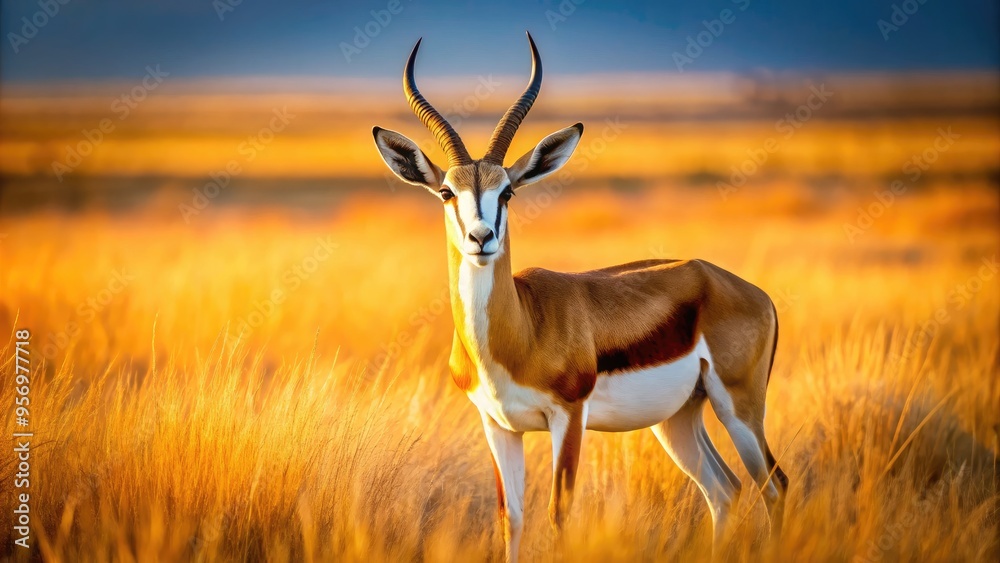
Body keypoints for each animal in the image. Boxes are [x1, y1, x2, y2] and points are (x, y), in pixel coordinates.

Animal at [372, 32, 788, 562]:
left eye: (507, 192)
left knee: (773, 485)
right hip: (678, 419)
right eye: (446, 191)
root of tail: (742, 288)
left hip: (738, 407)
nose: (482, 238)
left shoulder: (567, 417)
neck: (520, 330)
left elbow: (558, 515)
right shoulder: (497, 426)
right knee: (725, 490)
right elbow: (512, 519)